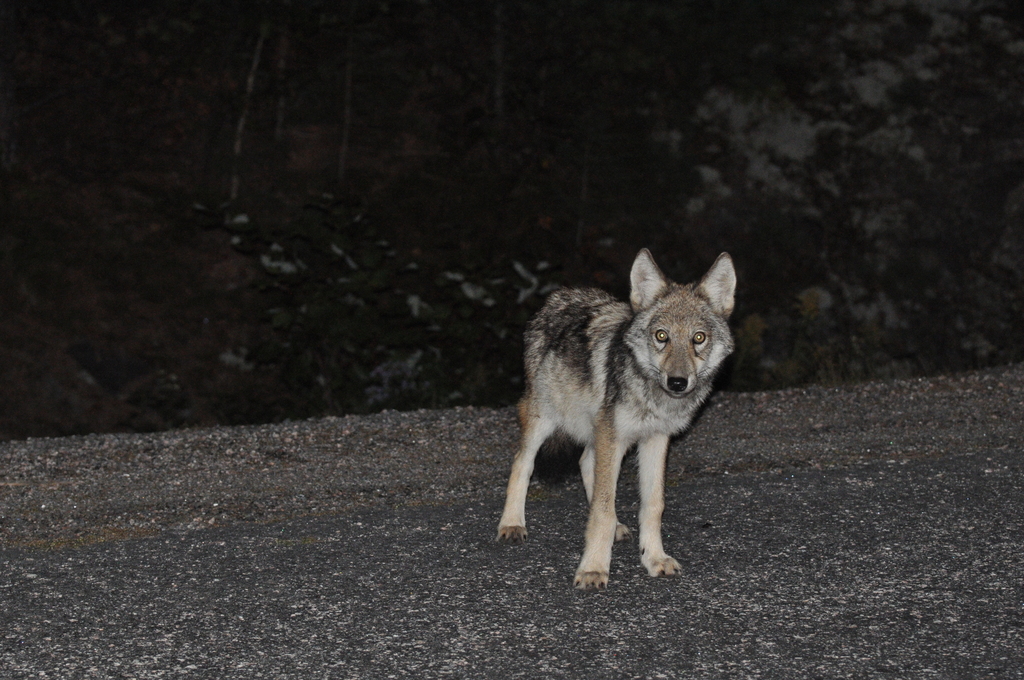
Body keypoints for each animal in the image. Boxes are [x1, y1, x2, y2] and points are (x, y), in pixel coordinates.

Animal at [497, 249, 736, 590]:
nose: (678, 382)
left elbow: (653, 505)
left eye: (698, 338)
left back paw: (619, 528)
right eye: (661, 336)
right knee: (522, 463)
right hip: (546, 418)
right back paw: (512, 523)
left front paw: (654, 558)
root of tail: (561, 295)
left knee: (585, 461)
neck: (652, 396)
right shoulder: (613, 435)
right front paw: (594, 569)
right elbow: (602, 510)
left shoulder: (654, 440)